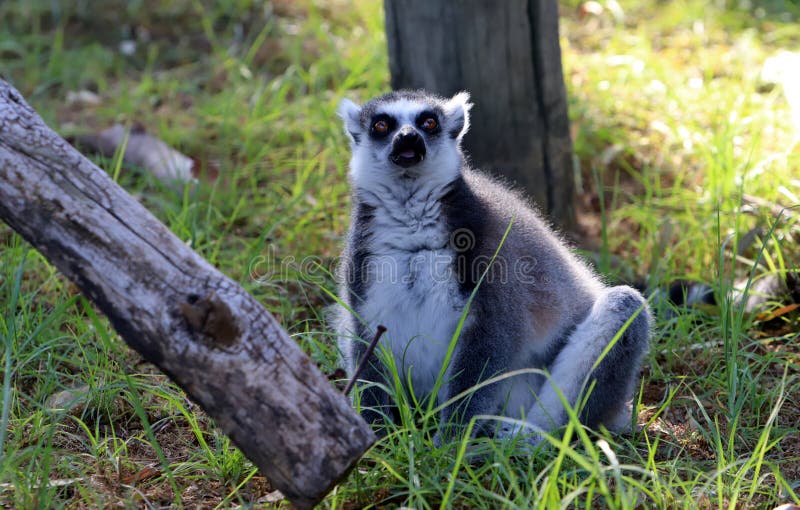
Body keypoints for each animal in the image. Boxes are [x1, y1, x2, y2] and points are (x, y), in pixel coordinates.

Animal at [331, 89, 652, 445]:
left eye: (428, 122)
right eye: (382, 125)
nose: (408, 137)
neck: (410, 211)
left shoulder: (492, 256)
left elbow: (494, 335)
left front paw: (450, 443)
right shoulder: (364, 260)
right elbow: (366, 334)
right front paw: (379, 437)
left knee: (624, 306)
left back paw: (531, 438)